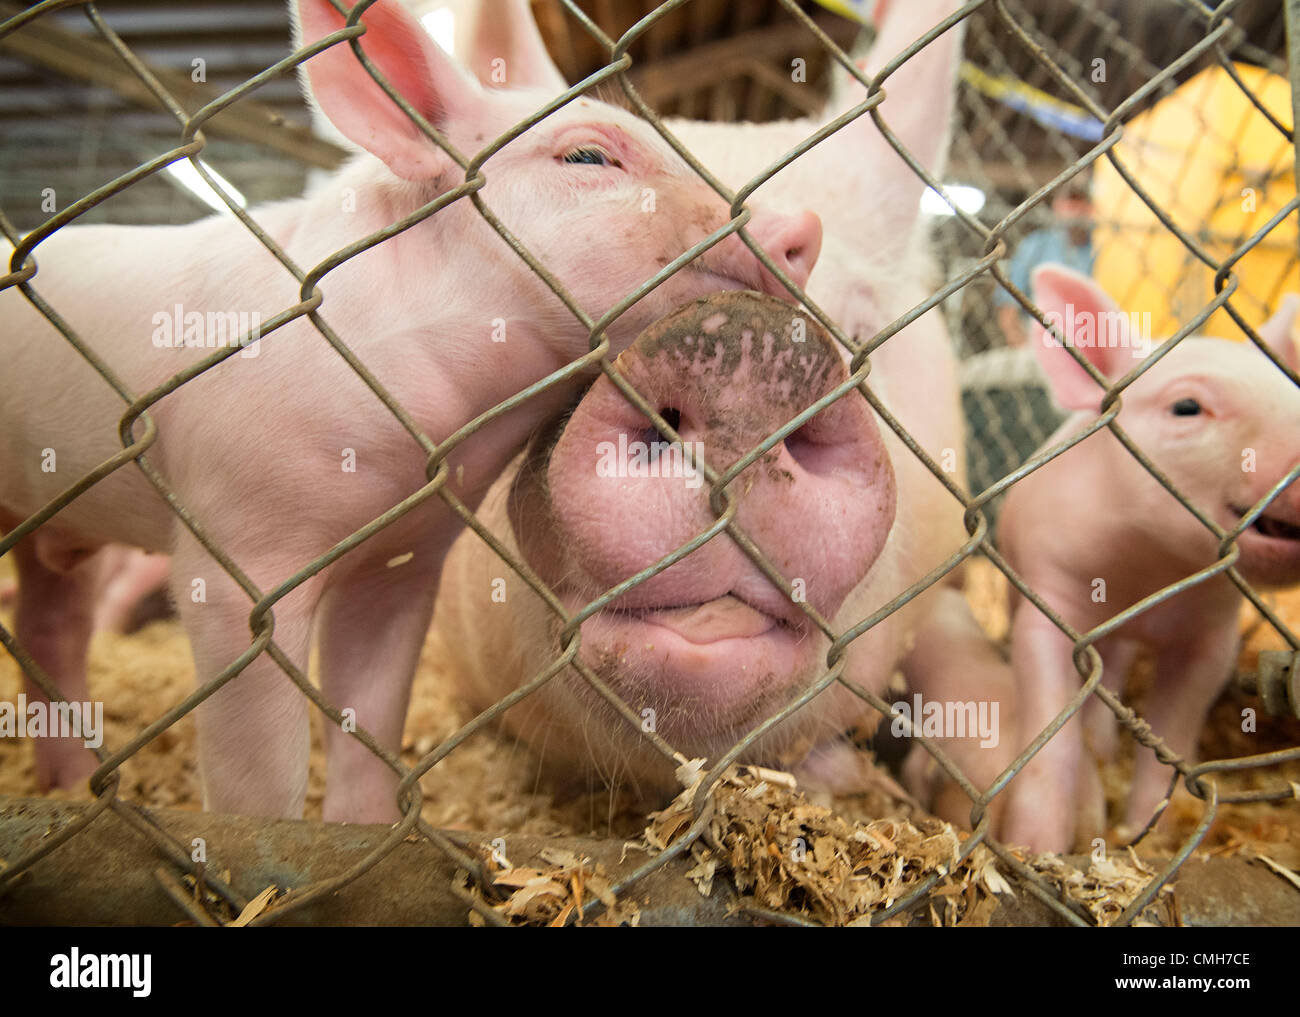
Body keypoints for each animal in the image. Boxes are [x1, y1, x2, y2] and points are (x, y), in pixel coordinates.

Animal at [0, 0, 824, 822]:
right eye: (588, 157)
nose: (802, 228)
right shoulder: (238, 541)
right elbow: (259, 768)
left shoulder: (403, 561)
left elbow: (371, 716)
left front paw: (358, 832)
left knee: (50, 623)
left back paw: (65, 785)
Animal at [997, 264, 1300, 853]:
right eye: (1187, 407)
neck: (1150, 571)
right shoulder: (1048, 595)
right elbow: (1051, 735)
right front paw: (1037, 850)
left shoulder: (1213, 635)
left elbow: (1174, 731)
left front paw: (1146, 835)